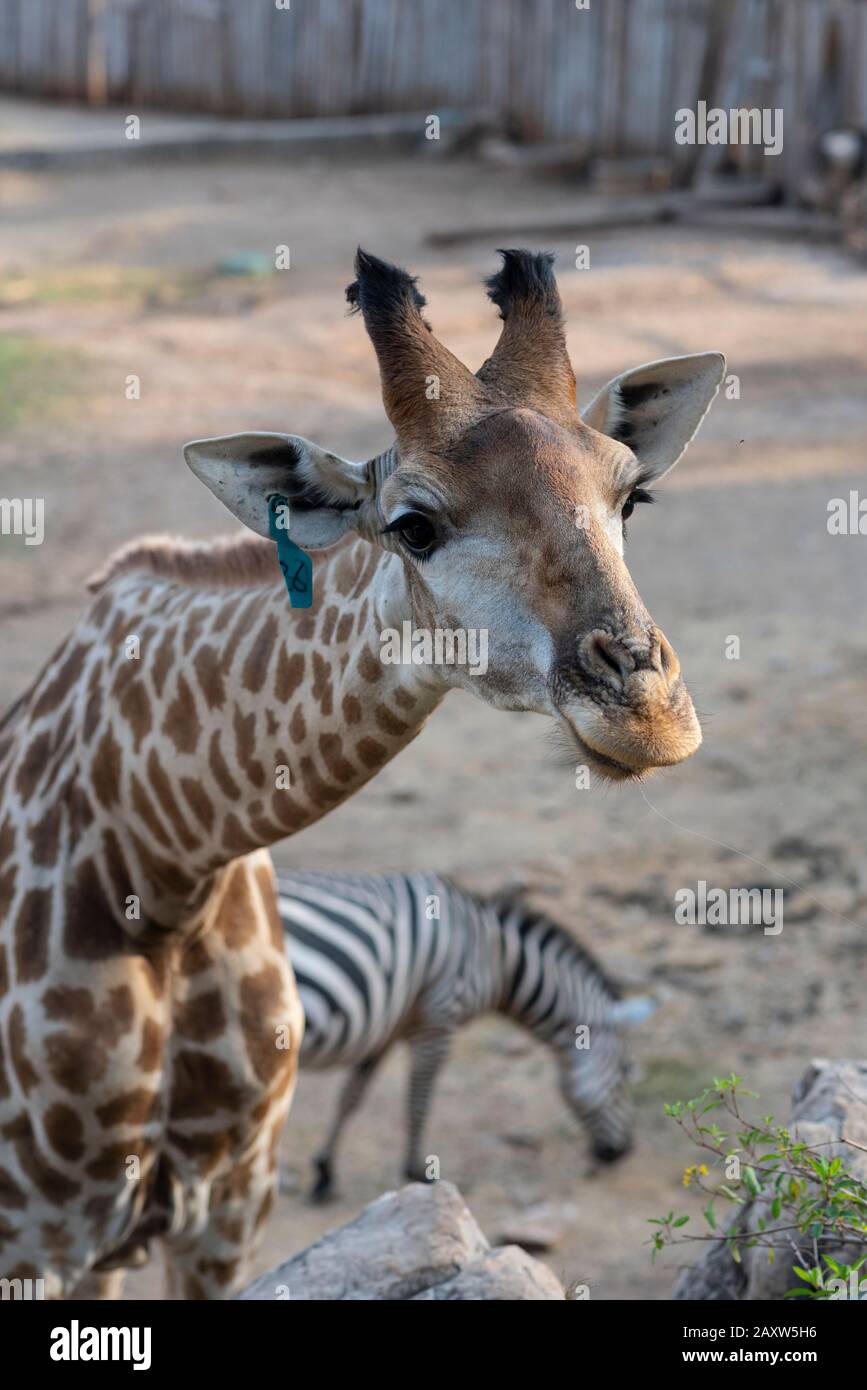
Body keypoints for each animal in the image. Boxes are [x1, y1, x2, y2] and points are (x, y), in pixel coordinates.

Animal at [0, 249, 724, 1300]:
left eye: (632, 497)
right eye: (412, 526)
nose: (648, 713)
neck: (163, 861)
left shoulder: (228, 1203)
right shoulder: (39, 1227)